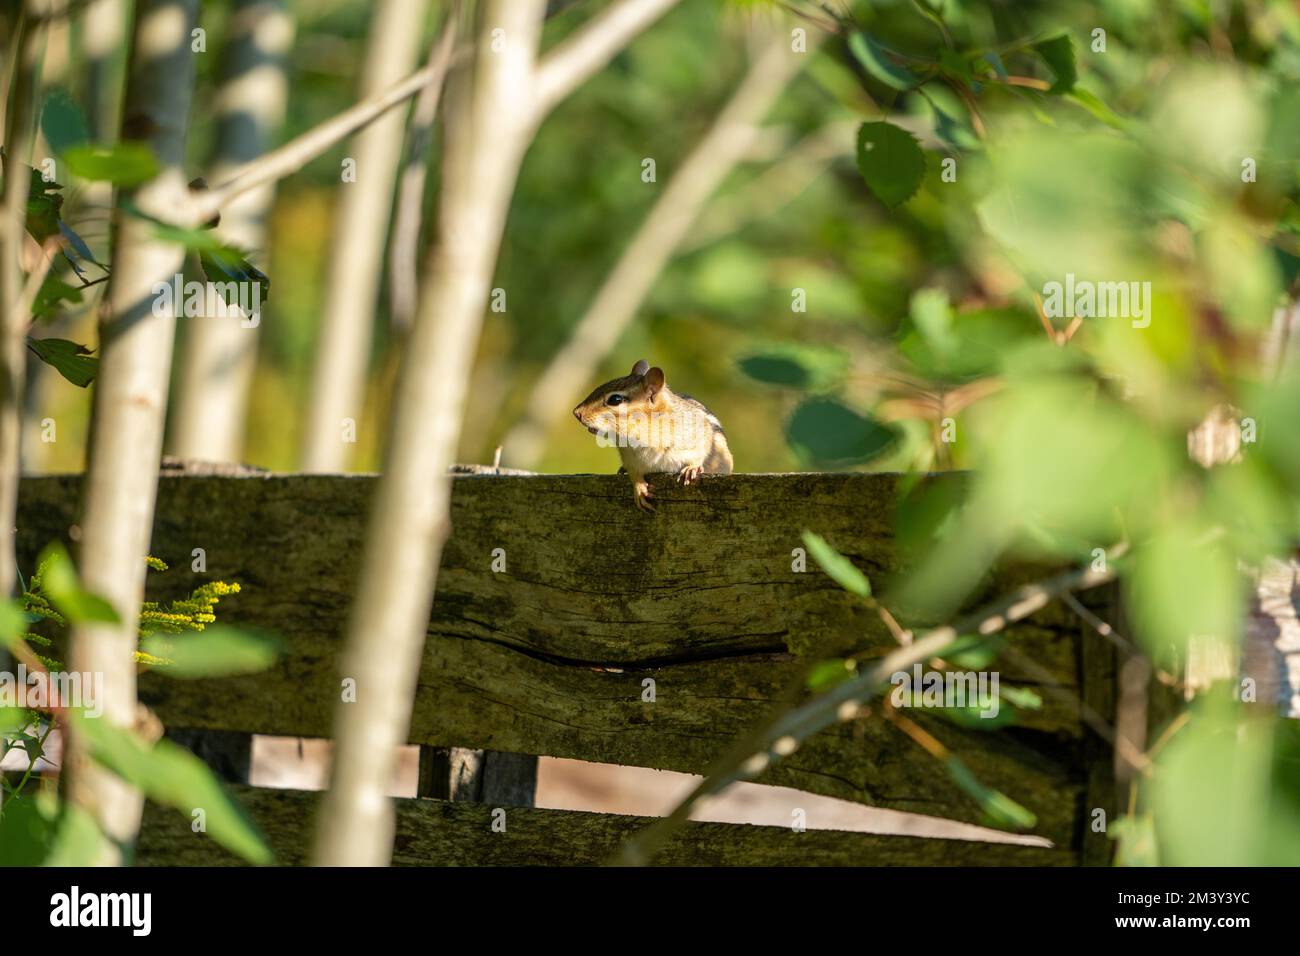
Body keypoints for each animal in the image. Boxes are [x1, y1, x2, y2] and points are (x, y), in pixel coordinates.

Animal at [572, 359, 733, 512]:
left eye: (615, 399)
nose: (576, 413)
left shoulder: (700, 433)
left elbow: (703, 450)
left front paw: (693, 467)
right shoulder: (630, 458)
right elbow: (634, 472)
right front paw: (639, 488)